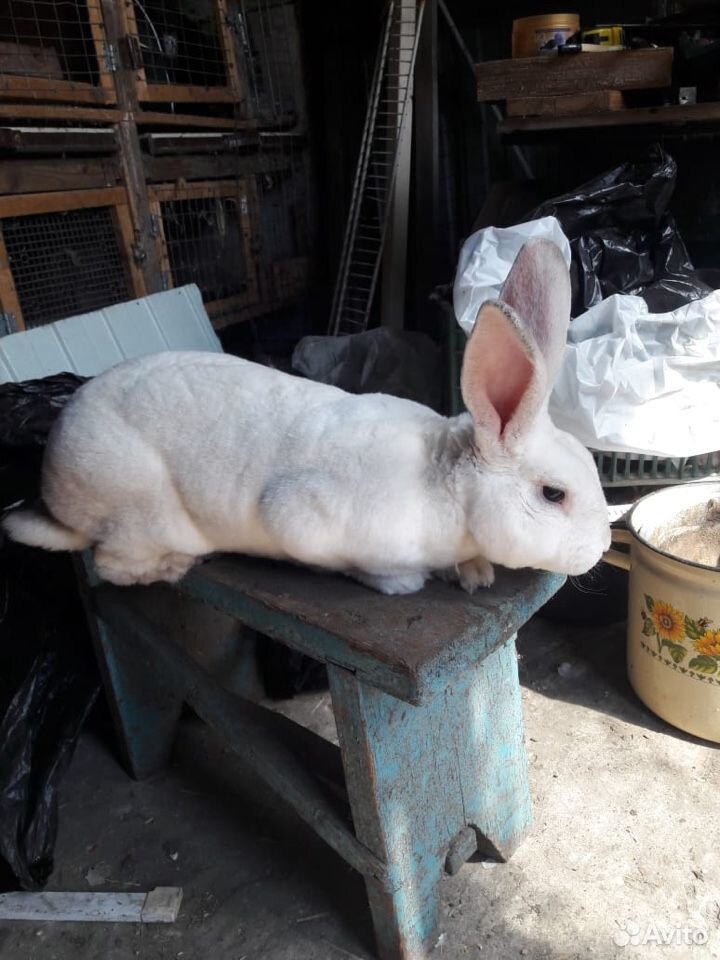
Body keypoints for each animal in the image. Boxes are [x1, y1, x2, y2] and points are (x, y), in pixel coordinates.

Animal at [2, 239, 611, 595]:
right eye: (553, 495)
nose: (602, 548)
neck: (446, 488)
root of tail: (52, 480)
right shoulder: (300, 516)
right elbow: (374, 570)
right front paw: (414, 581)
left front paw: (474, 574)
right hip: (137, 509)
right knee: (111, 564)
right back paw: (172, 566)